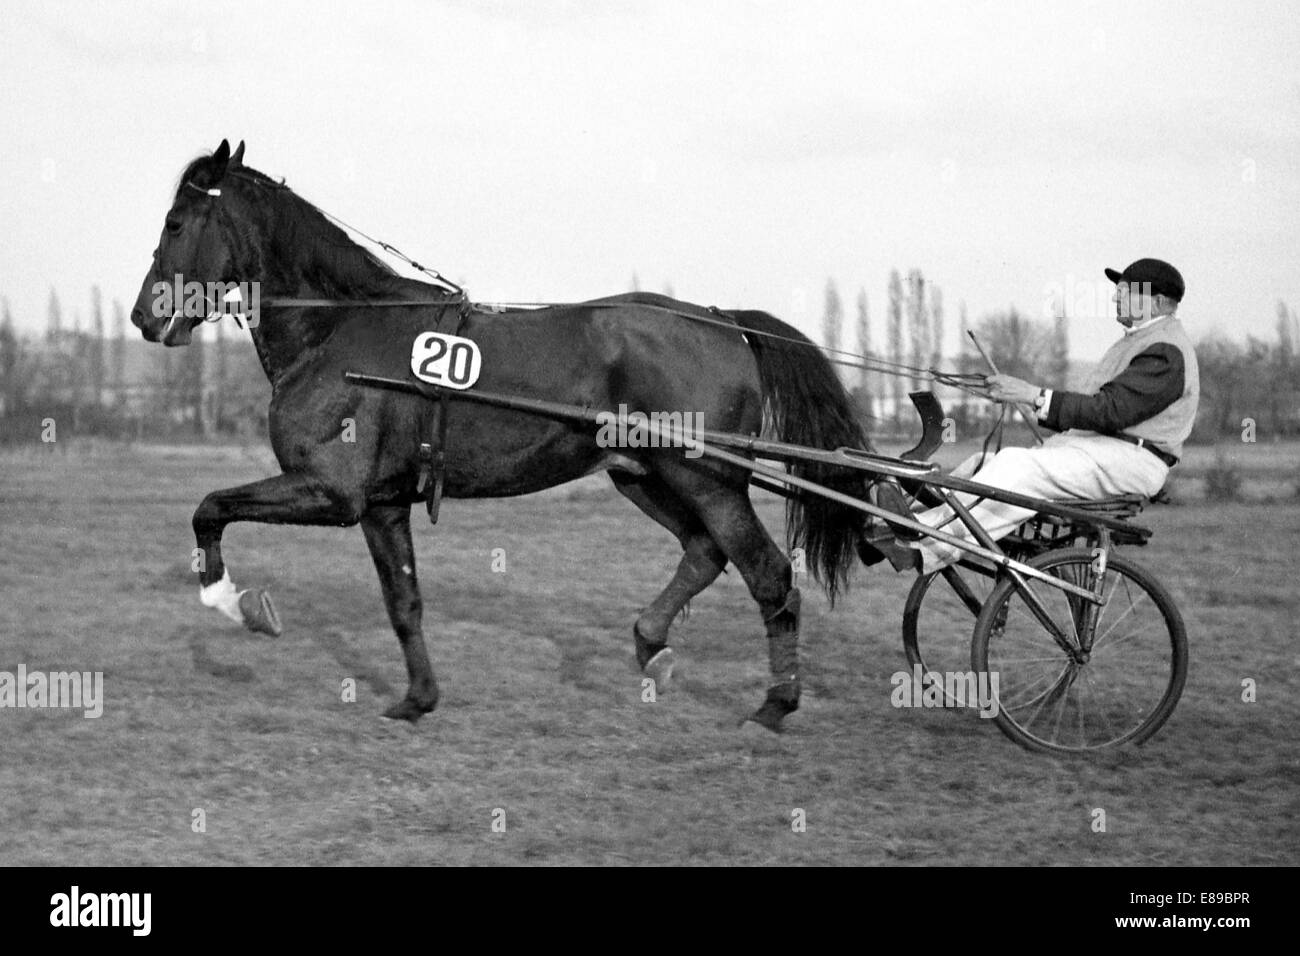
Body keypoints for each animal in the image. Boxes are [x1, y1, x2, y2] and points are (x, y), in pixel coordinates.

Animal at [130, 139, 882, 732]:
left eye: (175, 222)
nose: (143, 316)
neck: (339, 331)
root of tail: (723, 319)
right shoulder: (381, 505)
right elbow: (403, 602)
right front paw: (419, 698)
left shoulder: (331, 492)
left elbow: (209, 509)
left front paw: (238, 605)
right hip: (644, 476)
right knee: (704, 552)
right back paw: (652, 644)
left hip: (707, 479)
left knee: (769, 576)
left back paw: (775, 704)